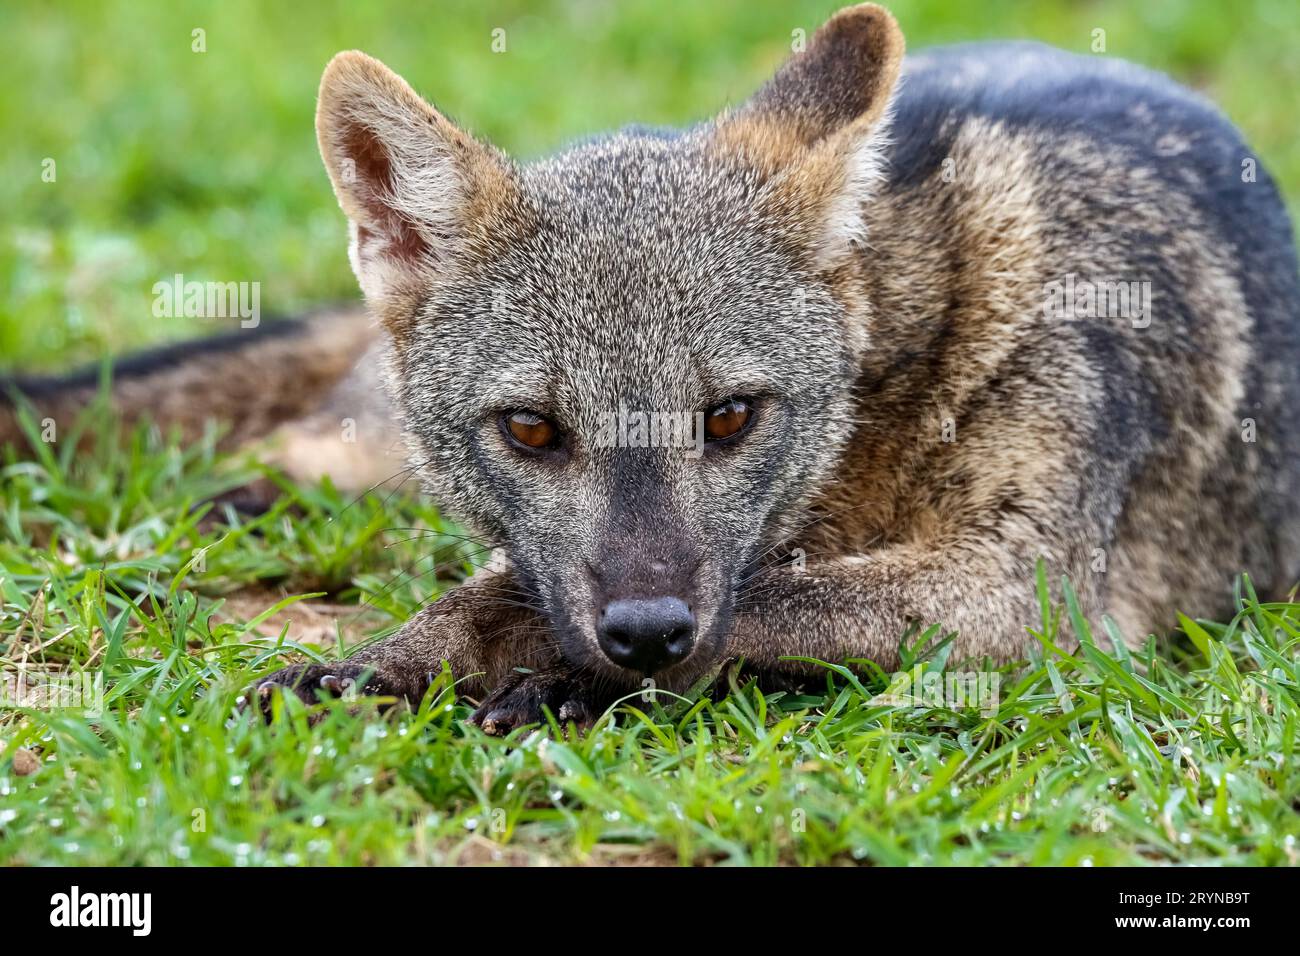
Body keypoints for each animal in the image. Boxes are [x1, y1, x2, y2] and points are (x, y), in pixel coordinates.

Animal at [3, 4, 1297, 734]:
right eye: (530, 430)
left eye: (730, 417)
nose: (643, 632)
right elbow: (487, 589)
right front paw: (388, 663)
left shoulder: (1028, 591)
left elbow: (771, 602)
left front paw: (575, 683)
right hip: (358, 447)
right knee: (275, 445)